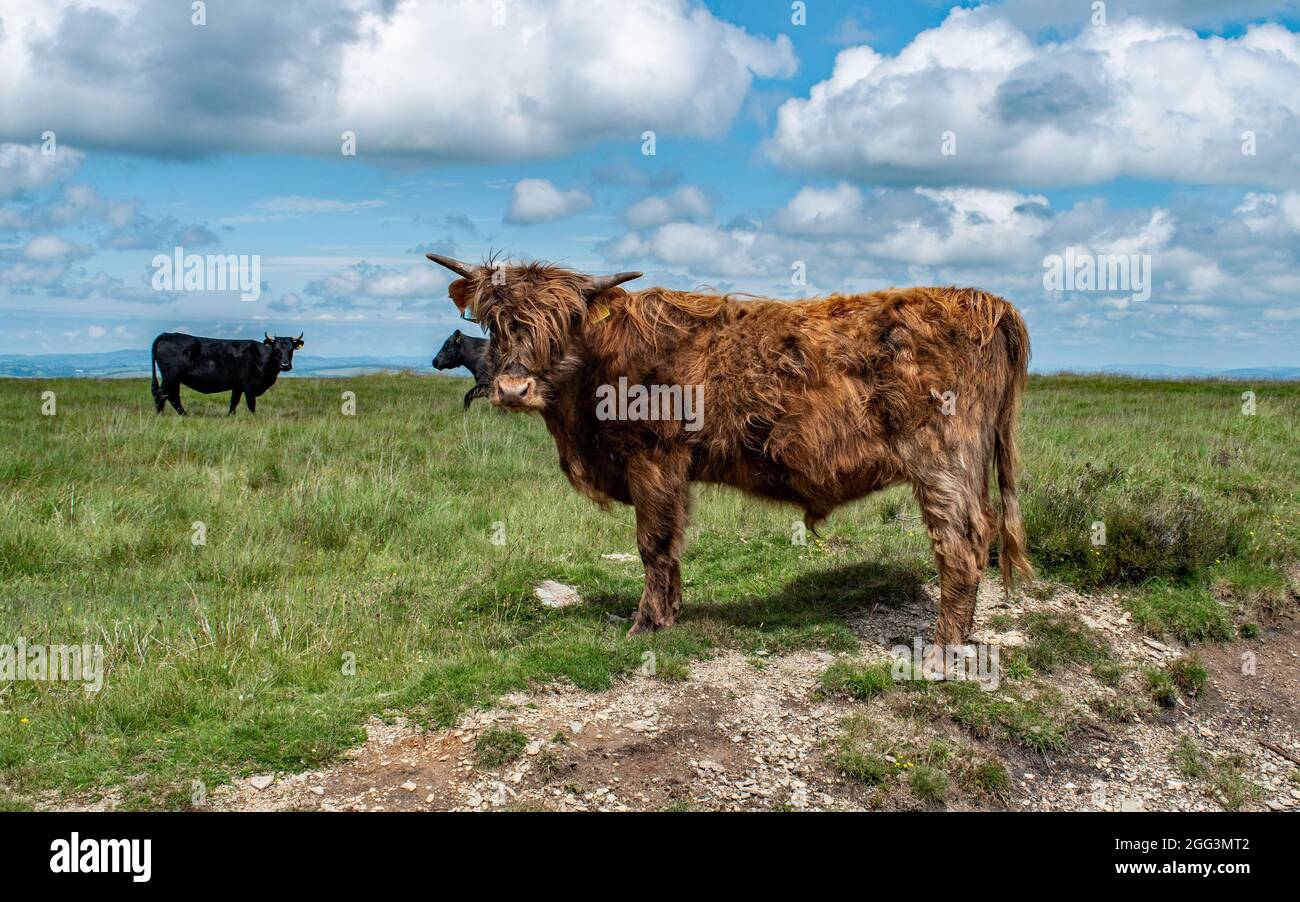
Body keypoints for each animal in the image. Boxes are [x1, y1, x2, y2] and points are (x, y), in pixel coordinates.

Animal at [150, 332, 303, 415]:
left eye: (291, 349)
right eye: (276, 349)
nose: (285, 365)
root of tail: (167, 334)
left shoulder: (237, 386)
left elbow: (233, 402)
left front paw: (230, 416)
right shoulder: (247, 384)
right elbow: (251, 403)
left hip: (174, 379)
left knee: (172, 396)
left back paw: (184, 415)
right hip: (170, 376)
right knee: (162, 395)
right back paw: (161, 415)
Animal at [426, 253, 1035, 664]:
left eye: (564, 322)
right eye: (495, 322)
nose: (511, 388)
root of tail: (986, 301)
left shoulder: (652, 459)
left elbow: (652, 543)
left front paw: (645, 625)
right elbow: (670, 543)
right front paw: (670, 614)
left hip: (943, 459)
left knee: (961, 541)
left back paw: (942, 650)